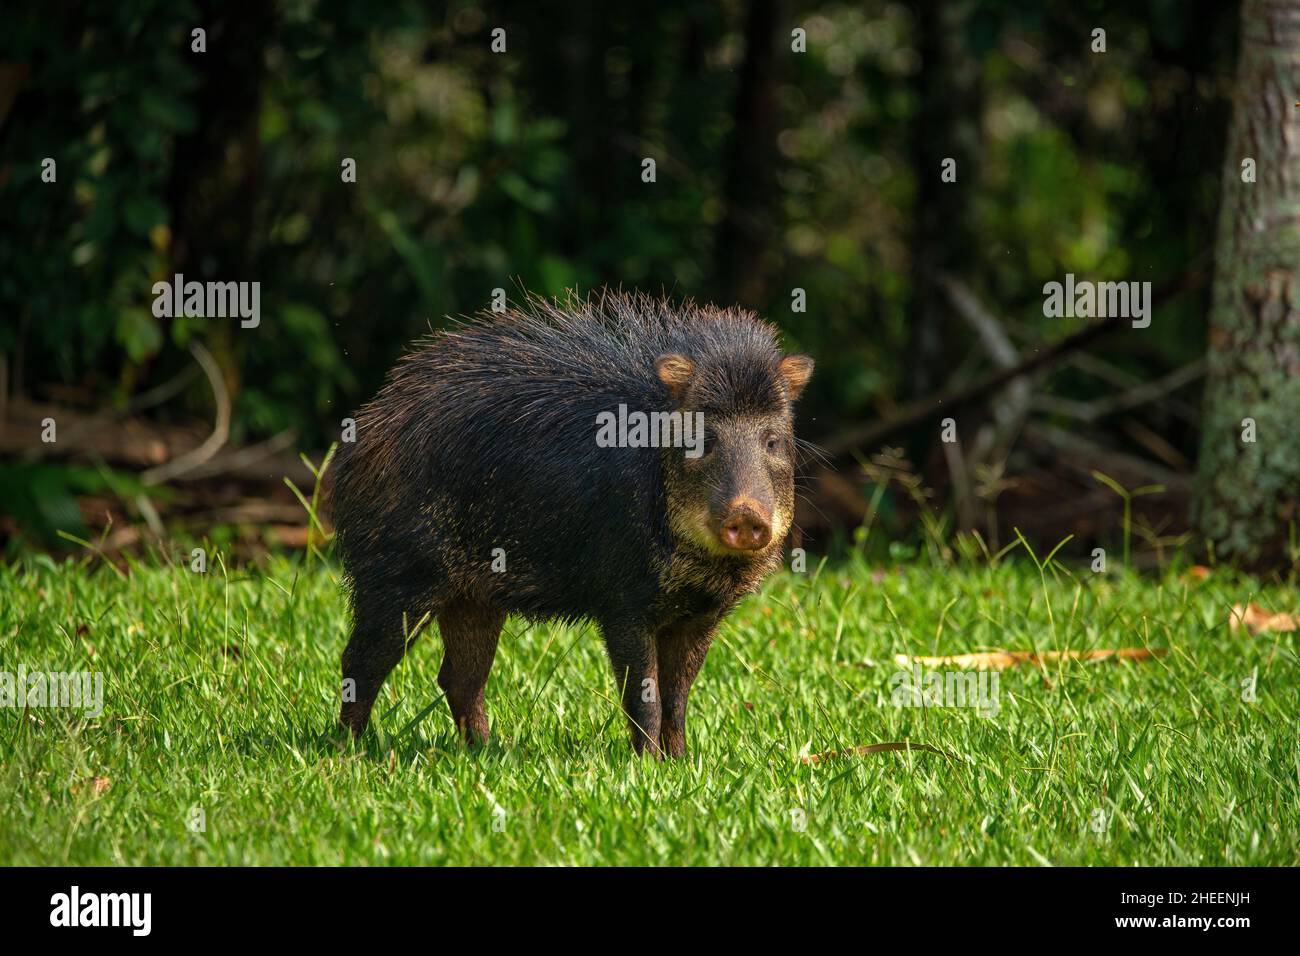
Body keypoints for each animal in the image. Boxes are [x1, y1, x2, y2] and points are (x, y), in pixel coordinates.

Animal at [331, 292, 813, 757]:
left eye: (772, 441)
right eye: (702, 440)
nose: (747, 516)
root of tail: (361, 439)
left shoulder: (701, 614)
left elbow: (677, 698)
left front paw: (680, 763)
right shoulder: (623, 602)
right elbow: (644, 697)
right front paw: (647, 765)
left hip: (473, 597)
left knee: (459, 677)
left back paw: (488, 753)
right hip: (399, 574)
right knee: (360, 662)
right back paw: (351, 750)